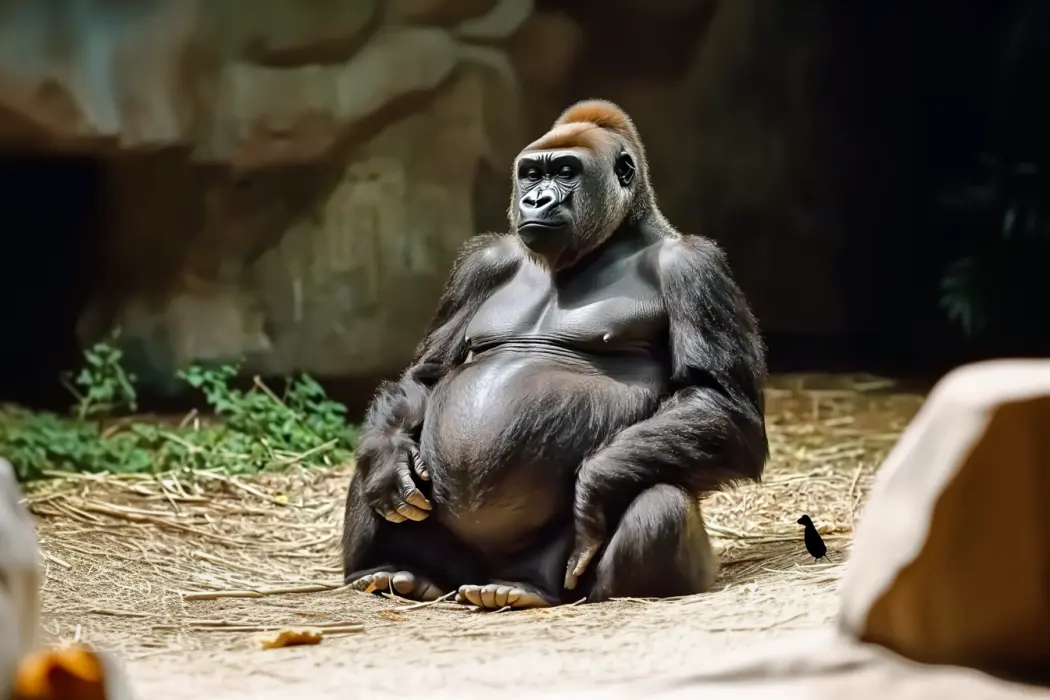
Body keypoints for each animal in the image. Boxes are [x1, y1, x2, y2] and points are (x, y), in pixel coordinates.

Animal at [340, 99, 769, 609]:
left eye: (566, 171)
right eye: (531, 175)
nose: (537, 201)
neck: (609, 241)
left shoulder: (694, 267)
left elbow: (718, 402)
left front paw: (594, 488)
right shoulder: (482, 261)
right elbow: (427, 375)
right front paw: (388, 458)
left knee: (661, 504)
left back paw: (541, 589)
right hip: (453, 565)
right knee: (373, 469)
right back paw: (394, 570)